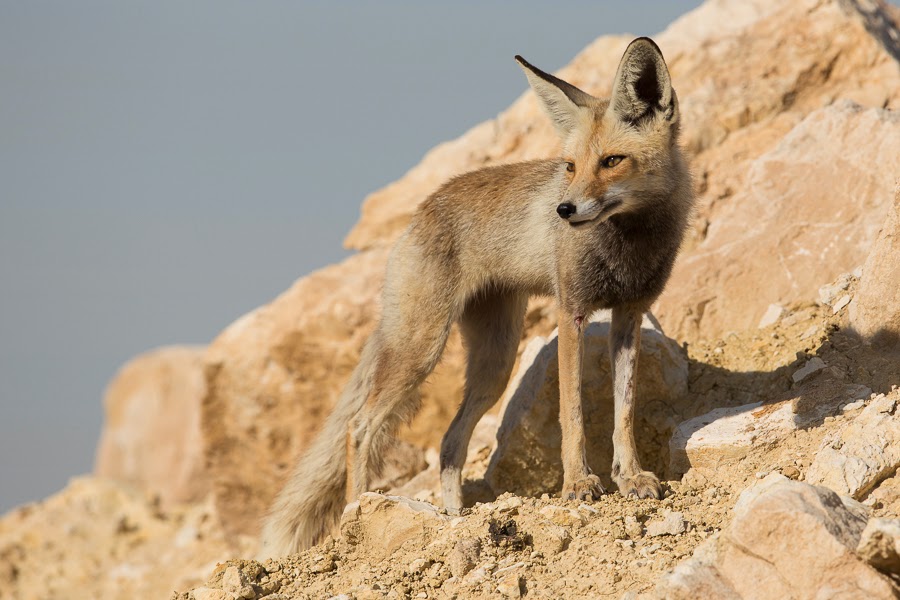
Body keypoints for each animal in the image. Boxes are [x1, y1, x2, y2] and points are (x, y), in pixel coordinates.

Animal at [260, 37, 693, 557]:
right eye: (570, 166)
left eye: (612, 161)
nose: (564, 209)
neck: (629, 244)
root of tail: (419, 213)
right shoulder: (572, 310)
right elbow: (572, 416)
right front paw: (577, 486)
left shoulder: (629, 314)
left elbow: (623, 413)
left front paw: (631, 478)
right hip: (421, 349)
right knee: (361, 426)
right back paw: (357, 512)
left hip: (495, 364)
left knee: (450, 443)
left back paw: (453, 518)